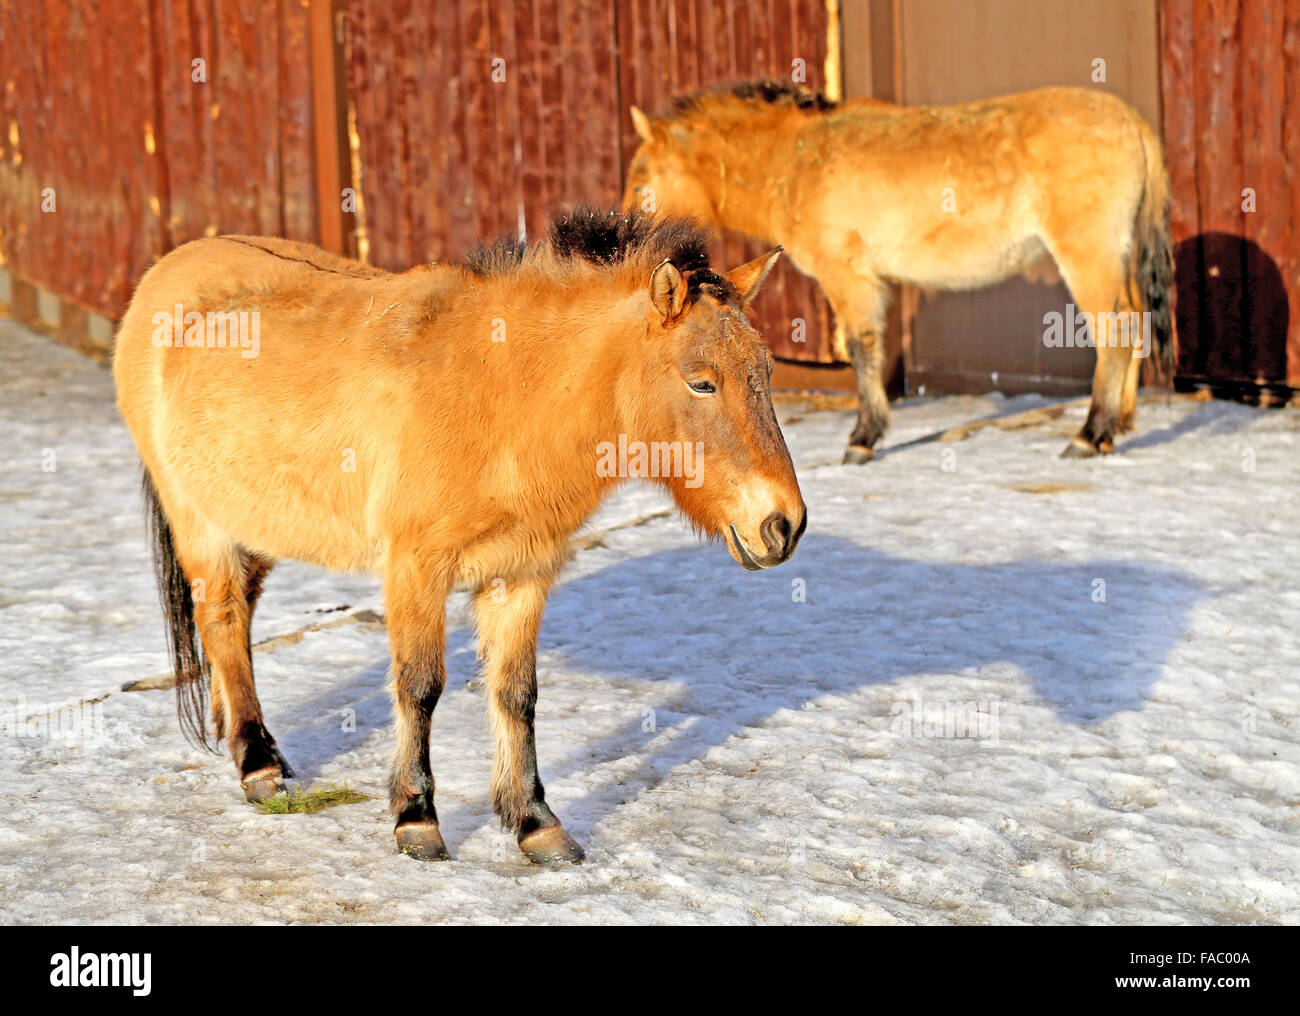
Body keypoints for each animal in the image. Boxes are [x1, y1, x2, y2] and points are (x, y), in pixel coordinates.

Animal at [112, 208, 806, 865]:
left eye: (767, 370)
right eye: (701, 381)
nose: (783, 524)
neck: (500, 395)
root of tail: (168, 271)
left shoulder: (522, 575)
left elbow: (517, 695)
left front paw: (534, 824)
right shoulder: (416, 570)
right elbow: (420, 687)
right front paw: (416, 820)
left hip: (252, 528)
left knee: (235, 622)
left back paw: (251, 744)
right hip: (200, 525)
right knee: (223, 618)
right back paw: (257, 764)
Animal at [623, 80, 1176, 463]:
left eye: (642, 182)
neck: (799, 160)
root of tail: (1132, 122)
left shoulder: (849, 278)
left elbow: (863, 349)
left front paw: (863, 439)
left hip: (1088, 257)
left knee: (1115, 330)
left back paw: (1091, 433)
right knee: (1134, 322)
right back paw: (1117, 427)